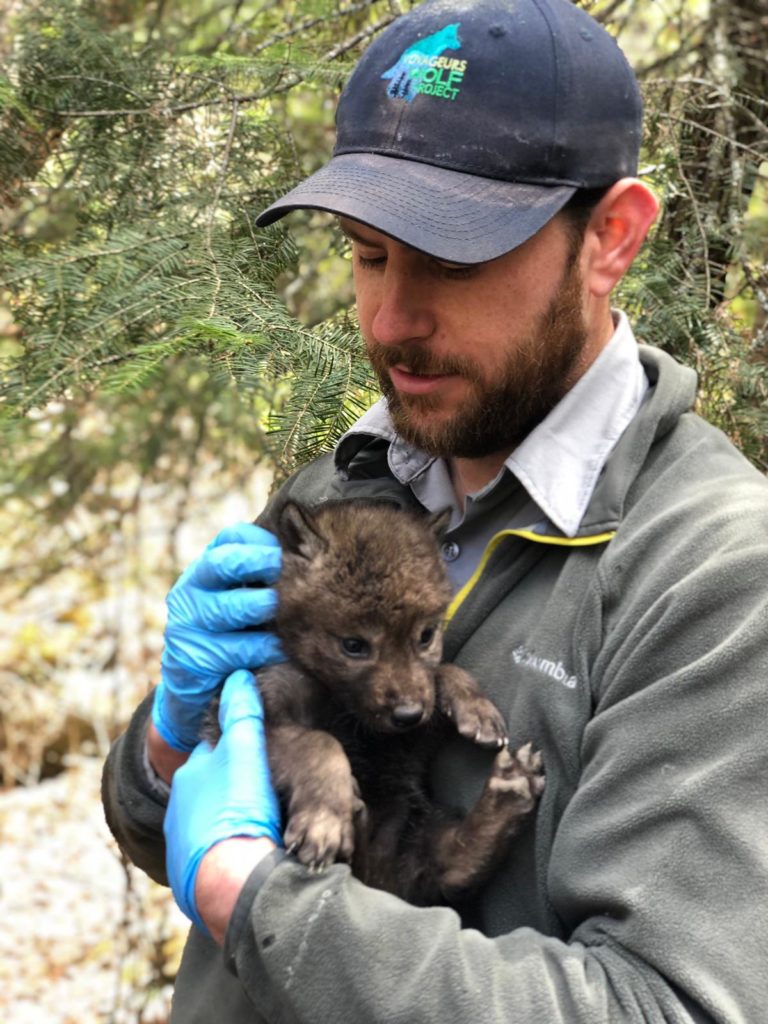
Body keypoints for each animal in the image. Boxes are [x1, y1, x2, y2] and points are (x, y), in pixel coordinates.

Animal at [204, 499, 543, 906]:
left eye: (426, 635)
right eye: (354, 645)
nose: (408, 714)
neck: (340, 703)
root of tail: (387, 884)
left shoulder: (407, 735)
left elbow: (440, 671)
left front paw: (475, 707)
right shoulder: (255, 715)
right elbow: (319, 742)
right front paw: (324, 821)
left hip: (421, 826)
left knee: (451, 867)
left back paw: (510, 788)